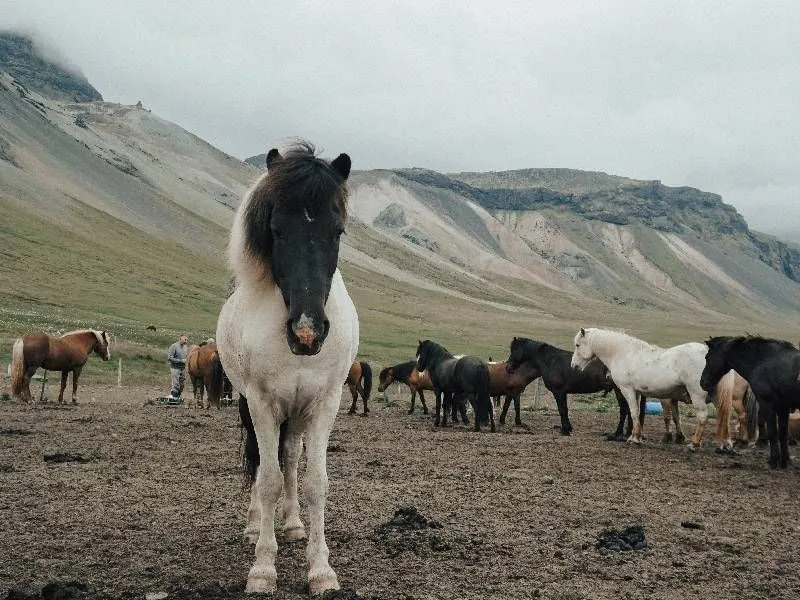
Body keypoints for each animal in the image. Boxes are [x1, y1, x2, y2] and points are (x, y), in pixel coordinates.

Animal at [212, 142, 356, 596]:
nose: (307, 332)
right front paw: (262, 568)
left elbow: (315, 482)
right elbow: (268, 479)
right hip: (251, 404)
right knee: (262, 462)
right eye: (276, 230)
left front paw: (321, 569)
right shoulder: (261, 402)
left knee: (290, 456)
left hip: (297, 411)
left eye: (337, 232)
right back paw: (255, 526)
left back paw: (291, 525)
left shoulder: (325, 402)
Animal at [506, 338, 644, 440]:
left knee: (625, 410)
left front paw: (565, 430)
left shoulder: (559, 392)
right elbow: (565, 410)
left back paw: (618, 433)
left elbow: (562, 410)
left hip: (620, 390)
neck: (550, 360)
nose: (508, 368)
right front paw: (567, 428)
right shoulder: (563, 393)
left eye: (514, 349)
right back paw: (627, 433)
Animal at [568, 328, 732, 450]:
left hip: (697, 395)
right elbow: (636, 414)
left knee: (703, 417)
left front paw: (634, 438)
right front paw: (637, 436)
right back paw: (725, 444)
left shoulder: (628, 390)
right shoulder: (637, 392)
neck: (623, 353)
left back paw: (694, 444)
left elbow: (633, 412)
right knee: (724, 416)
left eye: (577, 345)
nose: (573, 366)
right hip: (716, 396)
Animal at [704, 332, 796, 468]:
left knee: (745, 416)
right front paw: (784, 461)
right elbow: (782, 431)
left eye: (707, 357)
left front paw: (773, 461)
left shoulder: (769, 403)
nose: (702, 382)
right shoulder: (782, 406)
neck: (762, 361)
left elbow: (772, 430)